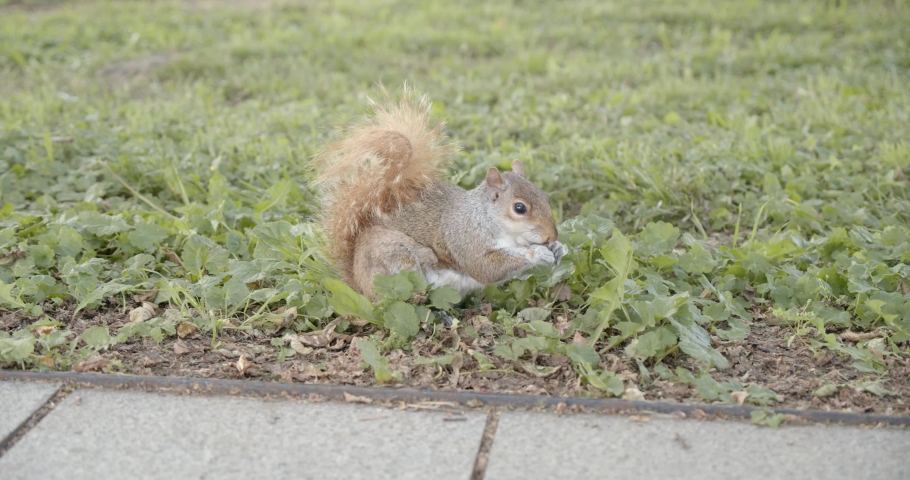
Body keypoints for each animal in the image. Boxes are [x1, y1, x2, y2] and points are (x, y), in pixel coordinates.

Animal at [313, 87, 567, 301]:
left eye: (546, 197)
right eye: (519, 208)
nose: (551, 235)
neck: (486, 217)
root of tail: (357, 281)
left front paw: (558, 248)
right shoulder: (465, 239)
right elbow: (486, 268)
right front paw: (536, 252)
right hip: (396, 258)